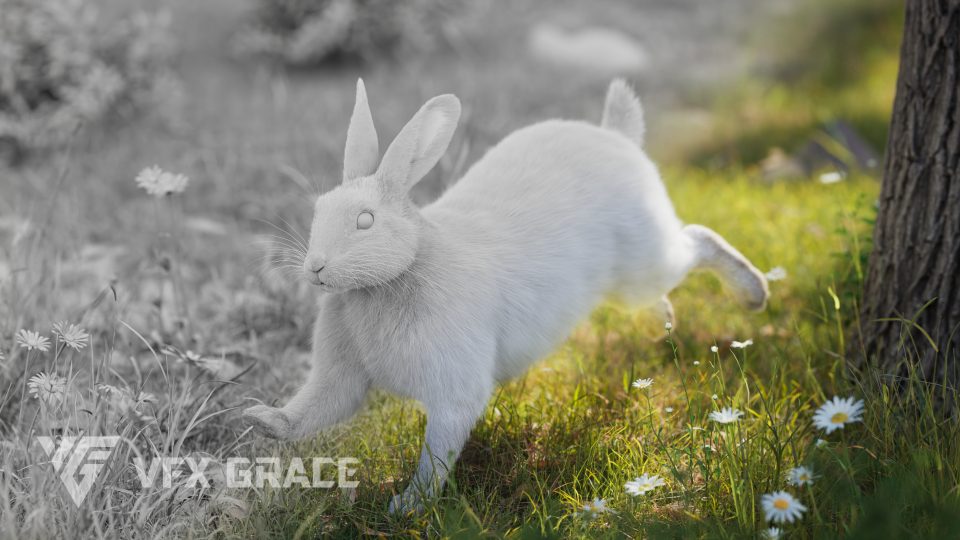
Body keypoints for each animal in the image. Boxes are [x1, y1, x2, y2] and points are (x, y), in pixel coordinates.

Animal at [242, 78, 769, 513]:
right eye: (318, 209)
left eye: (365, 221)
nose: (315, 268)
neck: (394, 276)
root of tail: (617, 137)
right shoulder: (340, 378)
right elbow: (313, 408)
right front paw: (263, 420)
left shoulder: (455, 393)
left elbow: (437, 455)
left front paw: (407, 507)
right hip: (633, 285)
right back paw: (665, 323)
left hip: (648, 259)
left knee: (697, 240)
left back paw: (755, 294)